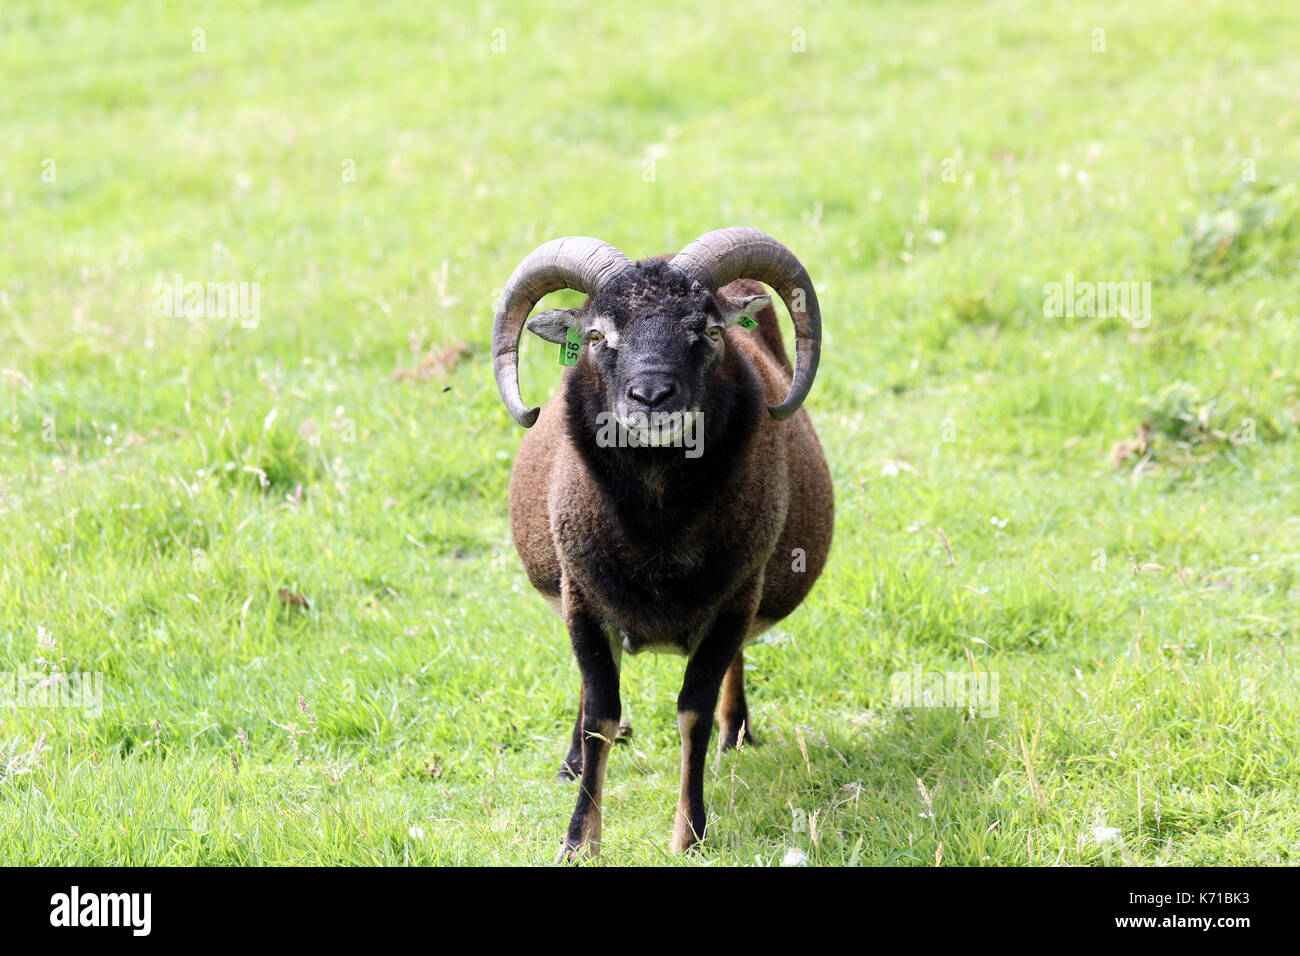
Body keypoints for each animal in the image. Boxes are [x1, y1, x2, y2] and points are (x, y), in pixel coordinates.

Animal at [492, 227, 834, 859]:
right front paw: (578, 842)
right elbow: (599, 715)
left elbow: (693, 712)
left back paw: (737, 734)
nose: (651, 396)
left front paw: (690, 834)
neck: (656, 534)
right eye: (595, 335)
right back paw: (571, 763)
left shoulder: (734, 600)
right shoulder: (582, 598)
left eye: (711, 331)